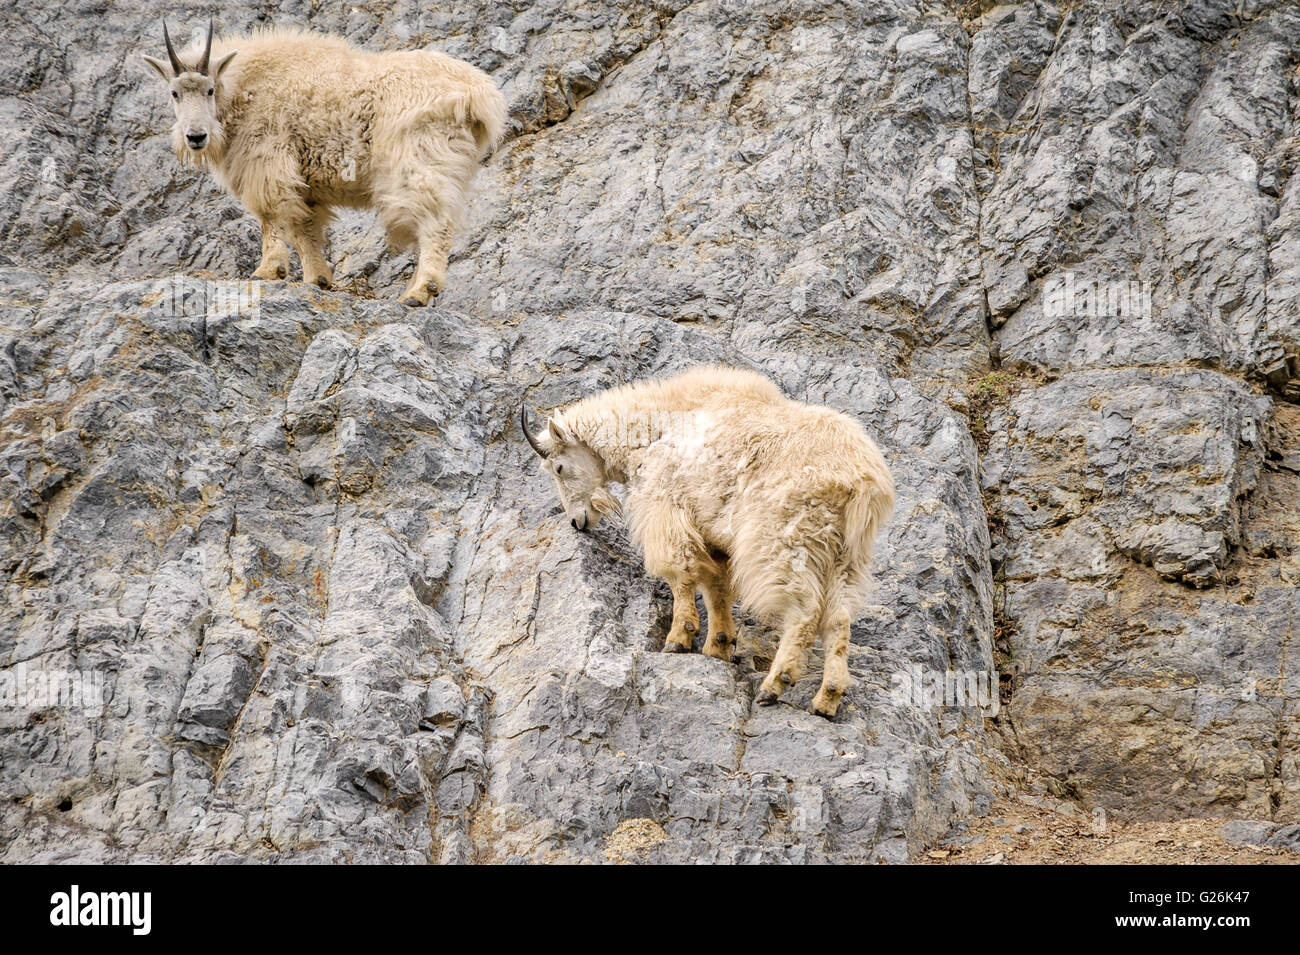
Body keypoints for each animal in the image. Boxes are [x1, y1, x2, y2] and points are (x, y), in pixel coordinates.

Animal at [143, 19, 506, 305]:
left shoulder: (267, 159)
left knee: (435, 222)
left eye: (209, 90)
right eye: (174, 93)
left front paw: (267, 270)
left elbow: (271, 217)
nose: (195, 137)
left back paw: (418, 292)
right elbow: (304, 228)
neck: (243, 88)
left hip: (420, 159)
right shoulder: (305, 183)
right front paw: (317, 279)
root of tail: (477, 93)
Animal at [521, 366, 895, 718]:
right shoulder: (713, 535)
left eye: (558, 467)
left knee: (804, 611)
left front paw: (679, 638)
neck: (657, 428)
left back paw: (775, 684)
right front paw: (717, 646)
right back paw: (827, 698)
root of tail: (862, 482)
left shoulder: (666, 507)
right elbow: (717, 588)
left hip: (785, 538)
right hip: (846, 555)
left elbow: (679, 571)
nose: (577, 521)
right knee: (839, 618)